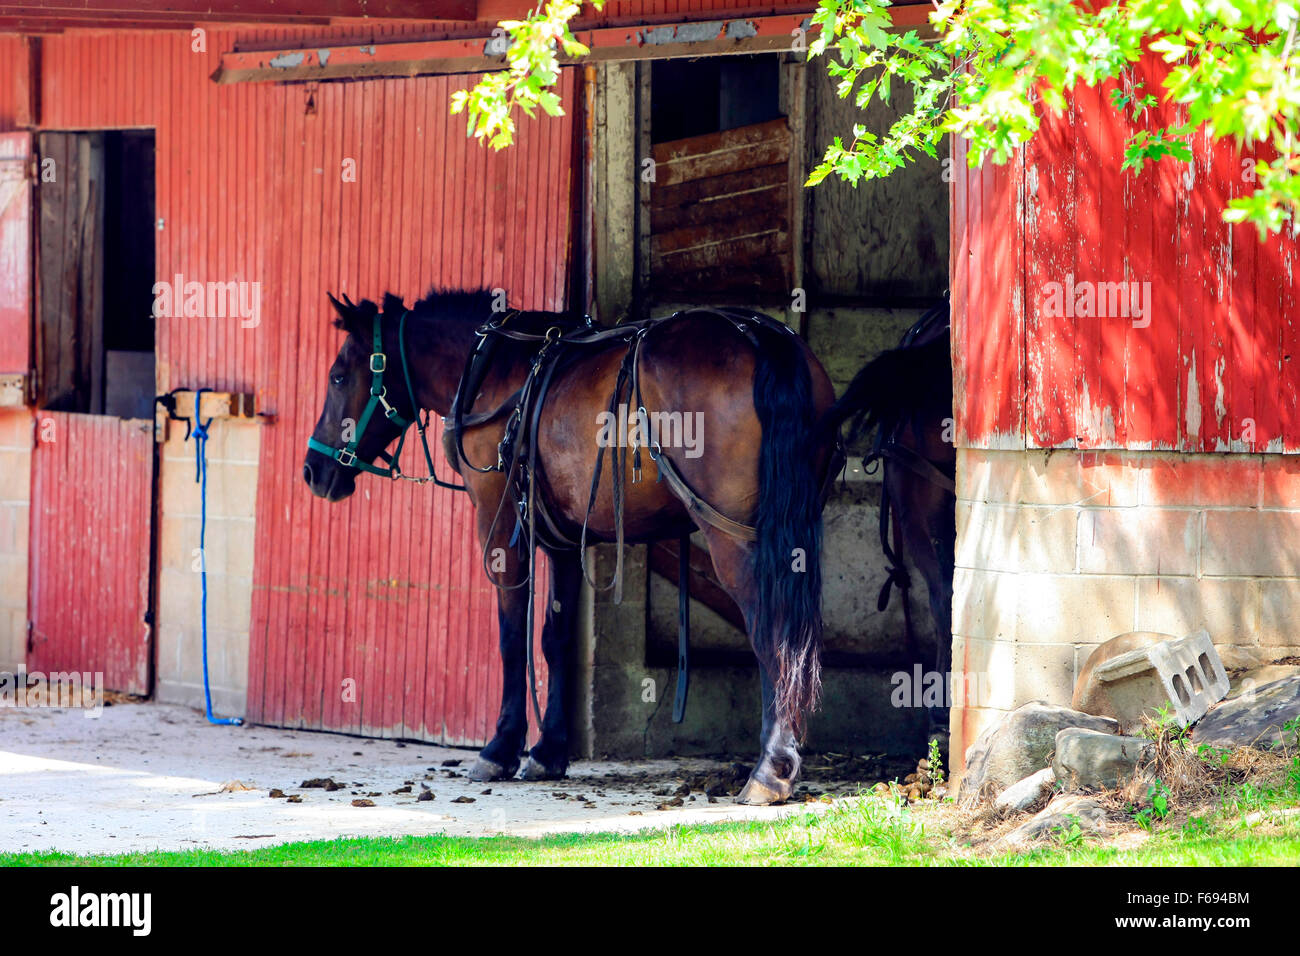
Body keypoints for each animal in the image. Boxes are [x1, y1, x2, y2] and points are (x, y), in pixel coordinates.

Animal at [303, 290, 839, 805]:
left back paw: (771, 768)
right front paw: (548, 751)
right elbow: (554, 637)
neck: (495, 368)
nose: (313, 470)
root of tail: (760, 338)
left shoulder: (498, 522)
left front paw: (501, 749)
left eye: (336, 376)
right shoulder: (561, 542)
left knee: (771, 629)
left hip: (734, 539)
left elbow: (511, 637)